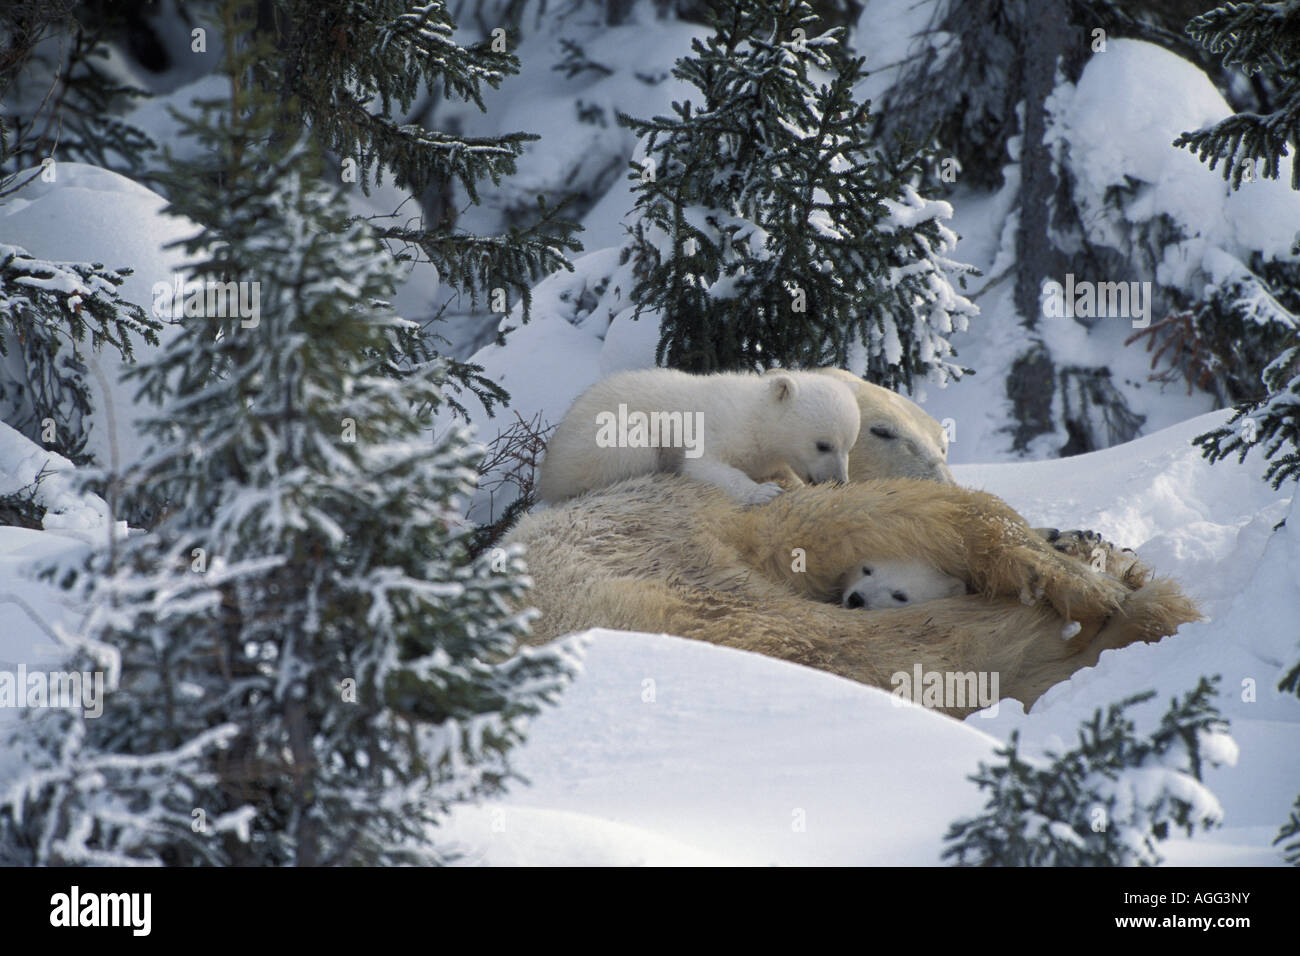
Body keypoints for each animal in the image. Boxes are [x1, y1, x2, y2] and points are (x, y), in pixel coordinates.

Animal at [536, 368, 861, 506]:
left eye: (848, 446)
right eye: (823, 445)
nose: (840, 481)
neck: (756, 416)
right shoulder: (723, 430)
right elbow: (703, 465)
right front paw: (763, 492)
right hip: (596, 439)